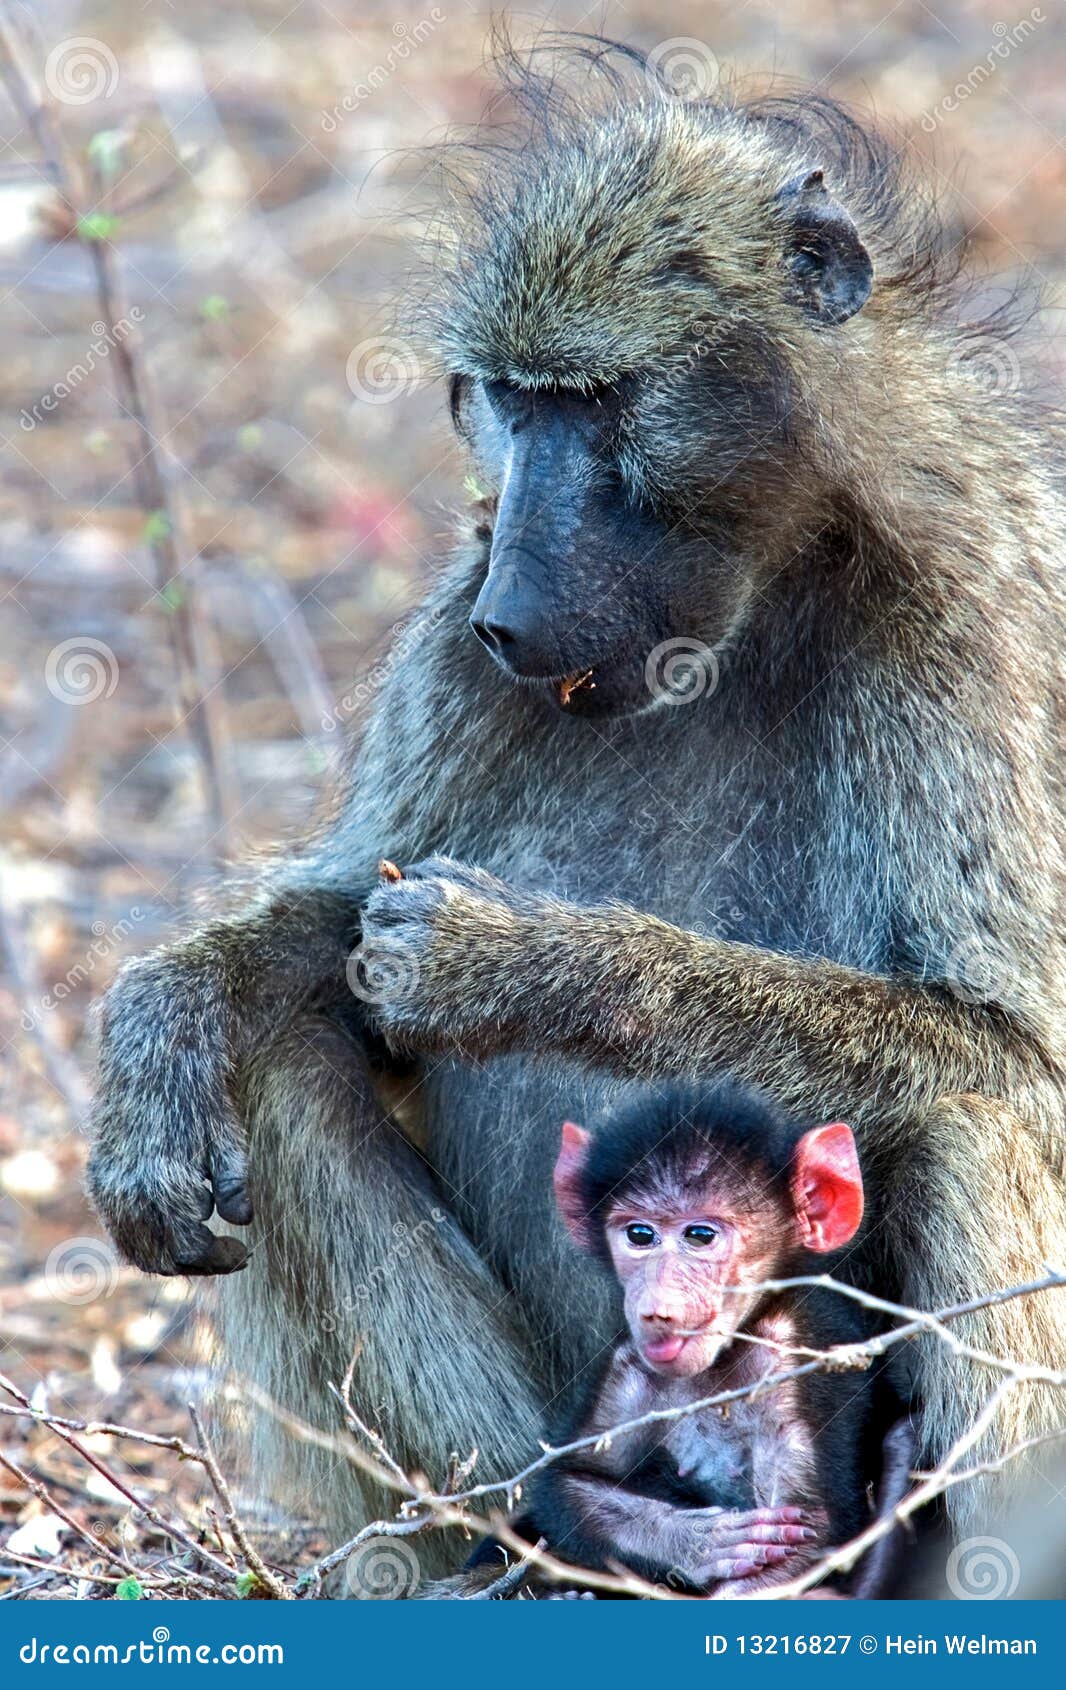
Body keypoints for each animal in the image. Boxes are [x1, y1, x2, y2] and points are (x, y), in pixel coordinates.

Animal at [86, 39, 1065, 1577]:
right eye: (510, 401)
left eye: (597, 402)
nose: (512, 609)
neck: (758, 591)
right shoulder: (450, 638)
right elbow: (340, 915)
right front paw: (160, 1020)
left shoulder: (974, 621)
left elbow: (1016, 1054)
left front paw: (521, 962)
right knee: (280, 1051)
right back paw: (529, 1553)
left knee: (969, 1119)